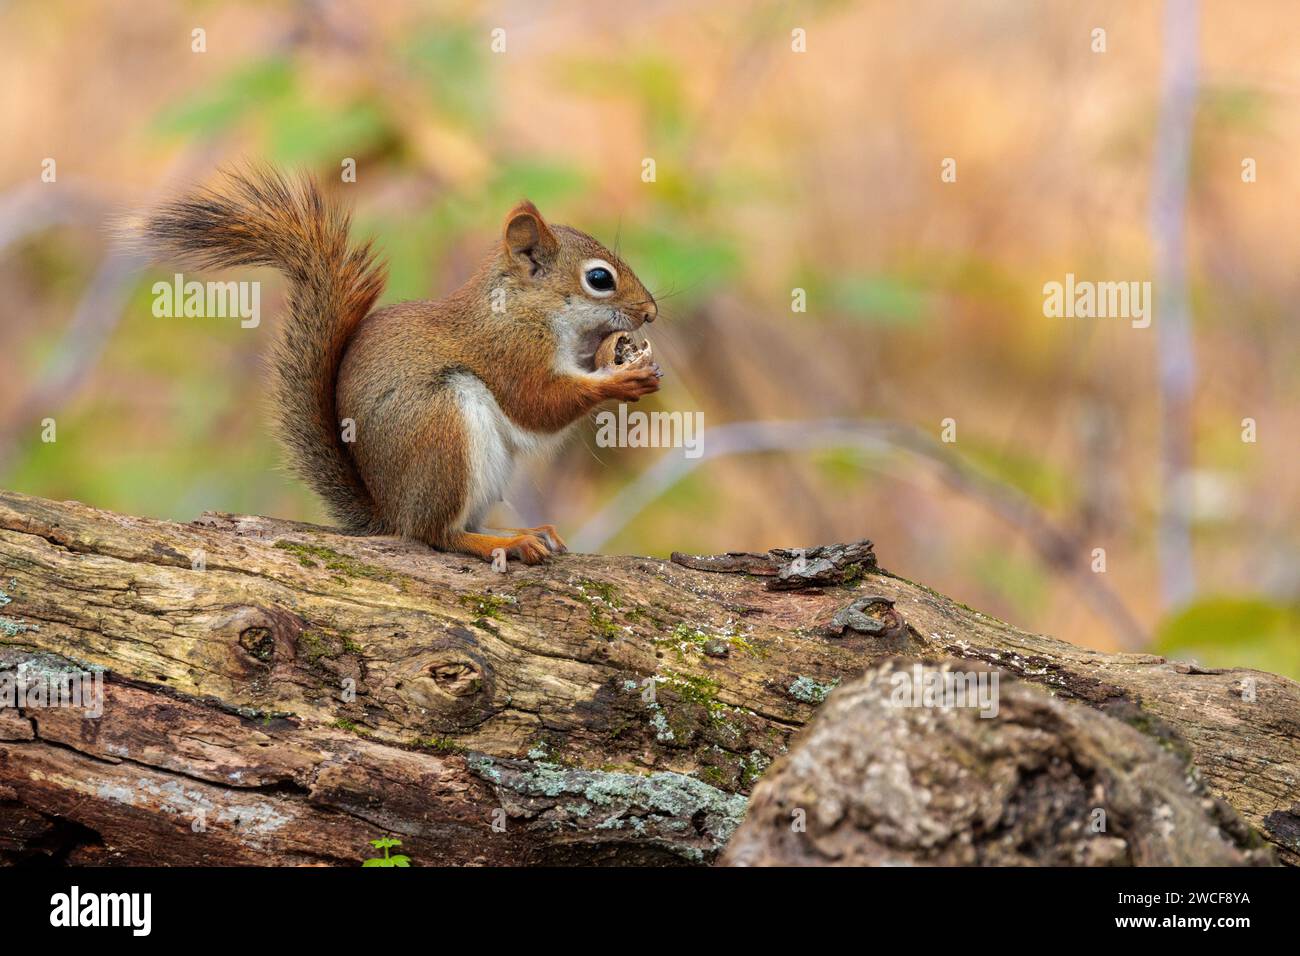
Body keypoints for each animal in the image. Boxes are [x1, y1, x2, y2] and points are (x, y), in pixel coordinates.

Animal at [142, 166, 661, 564]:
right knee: (435, 534)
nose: (651, 312)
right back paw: (503, 543)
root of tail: (389, 512)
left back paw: (522, 532)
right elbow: (538, 405)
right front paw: (621, 379)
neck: (523, 307)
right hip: (442, 426)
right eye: (599, 279)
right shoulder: (509, 350)